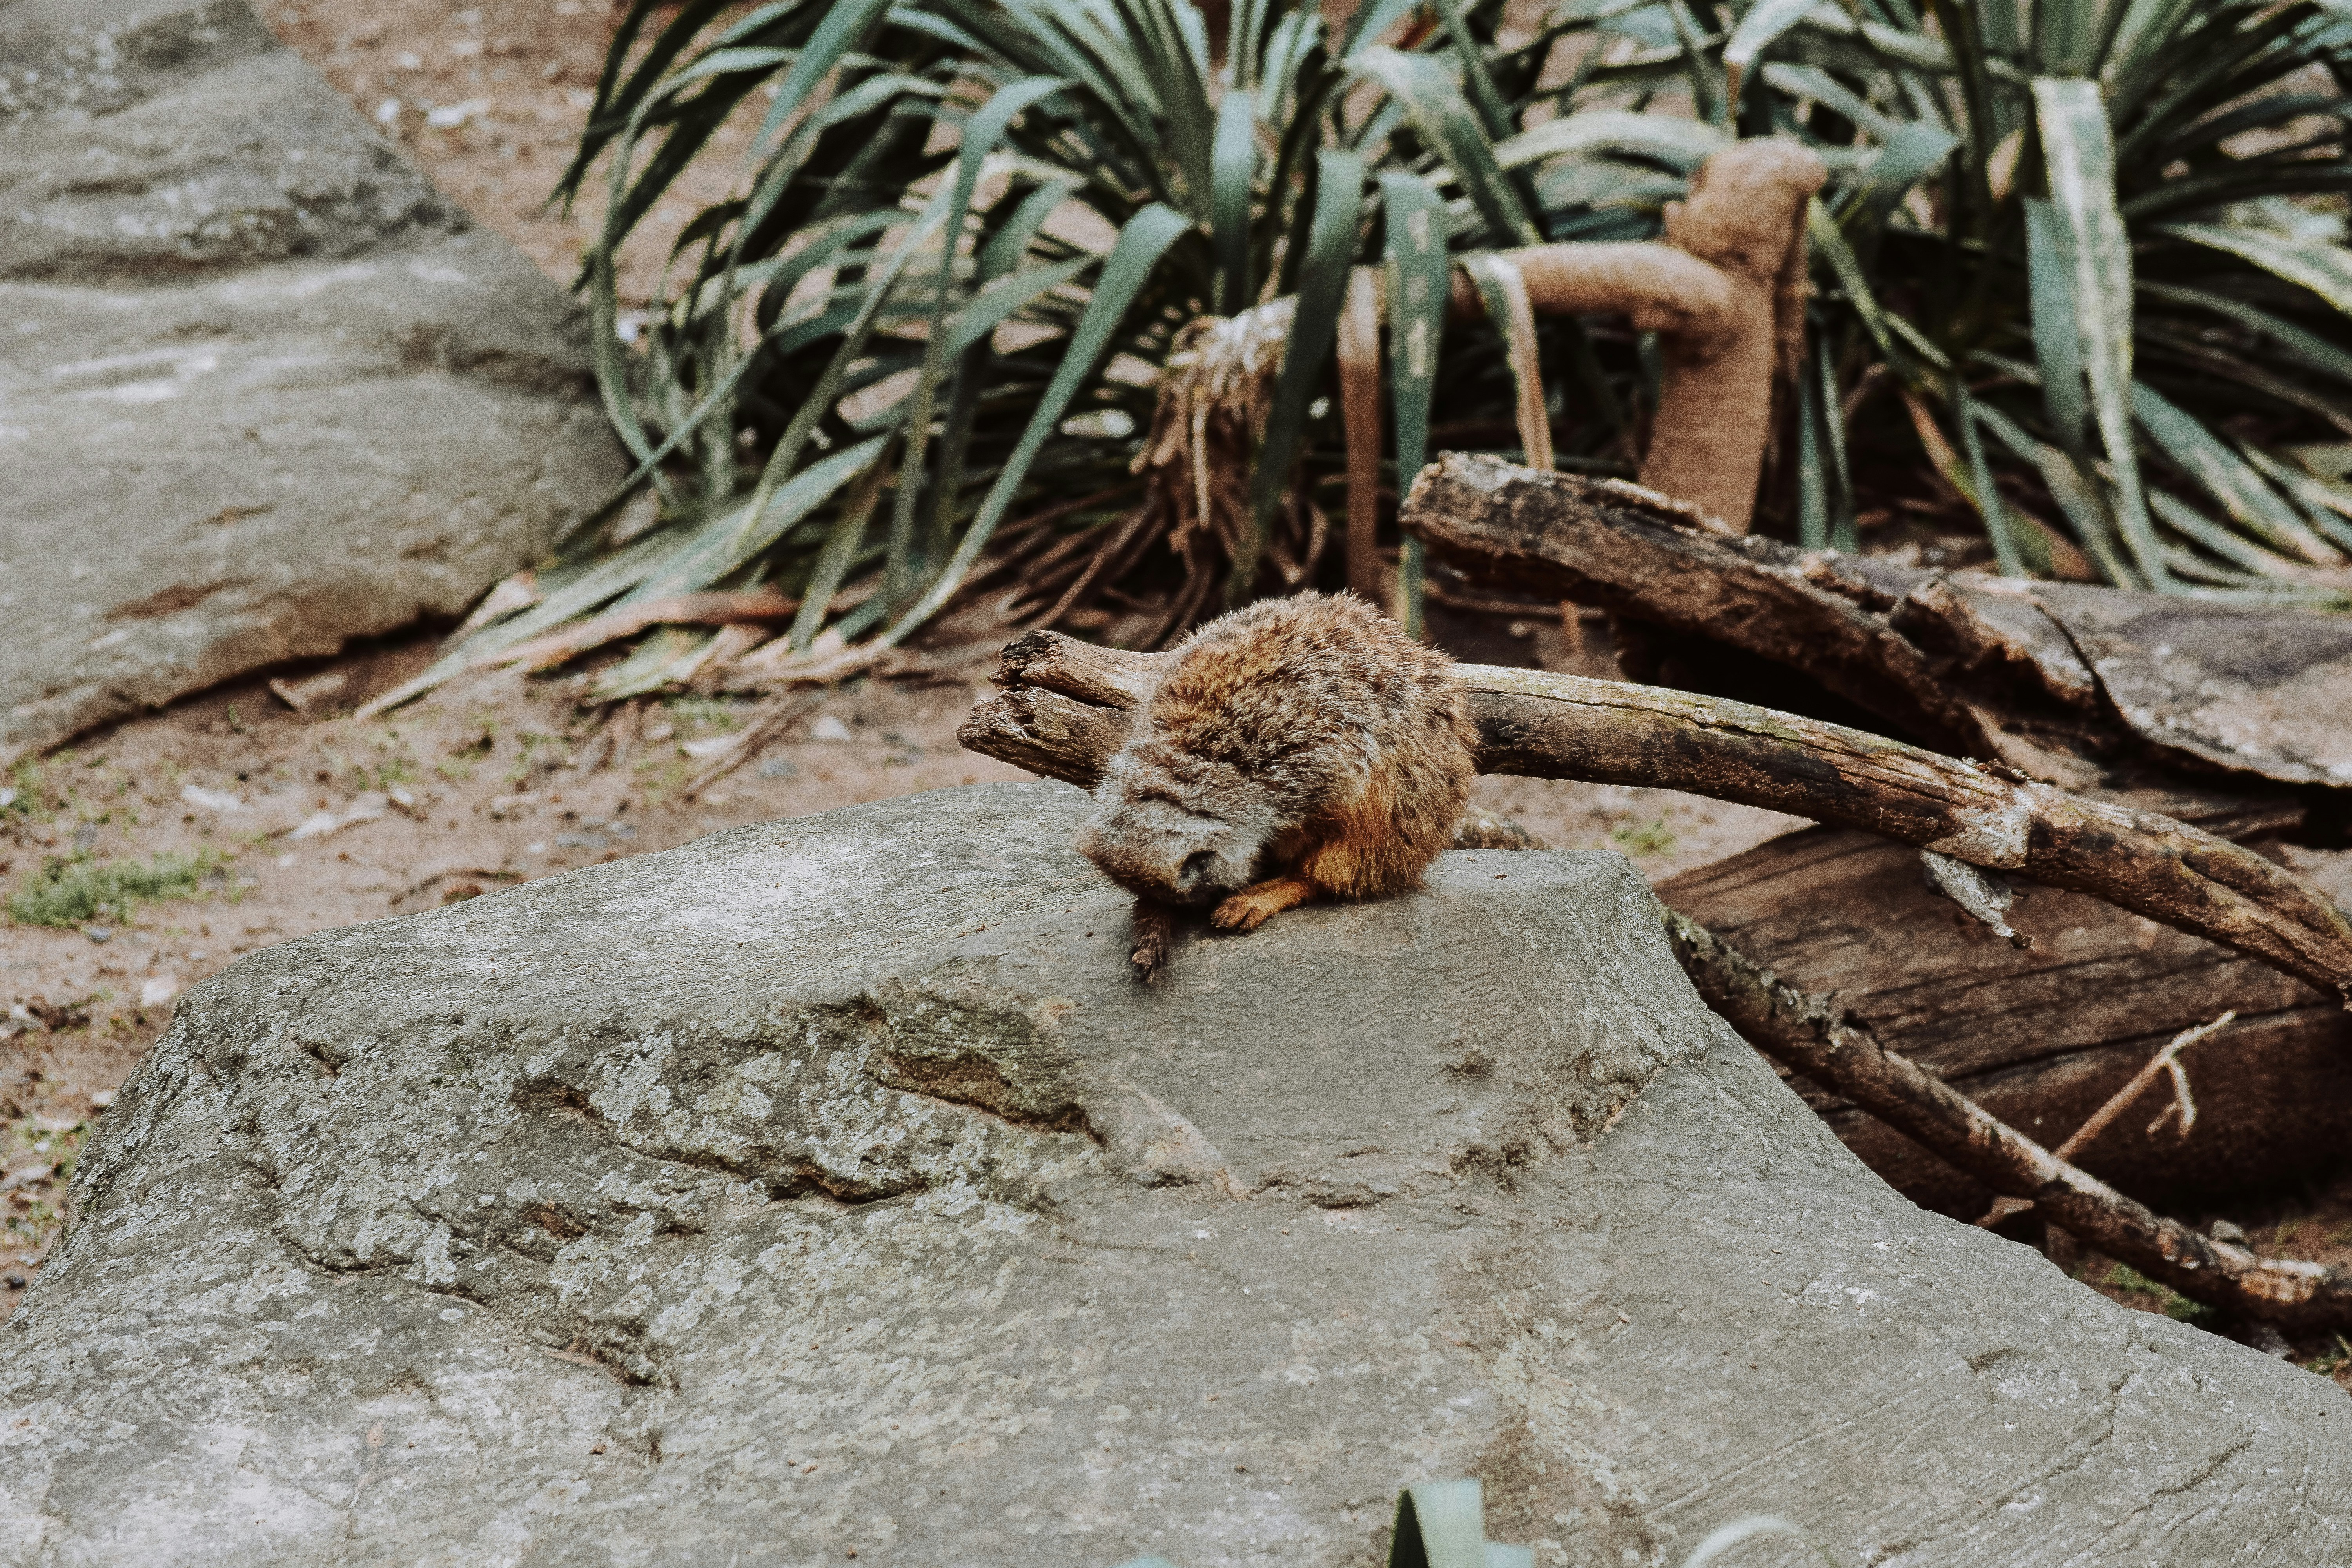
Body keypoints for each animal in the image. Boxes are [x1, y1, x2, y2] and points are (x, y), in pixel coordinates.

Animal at [1076, 590, 1478, 984]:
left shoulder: (1320, 768)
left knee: (1352, 862)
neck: (1204, 753)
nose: (1193, 910)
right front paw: (1151, 923)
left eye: (1198, 895)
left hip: (1408, 806)